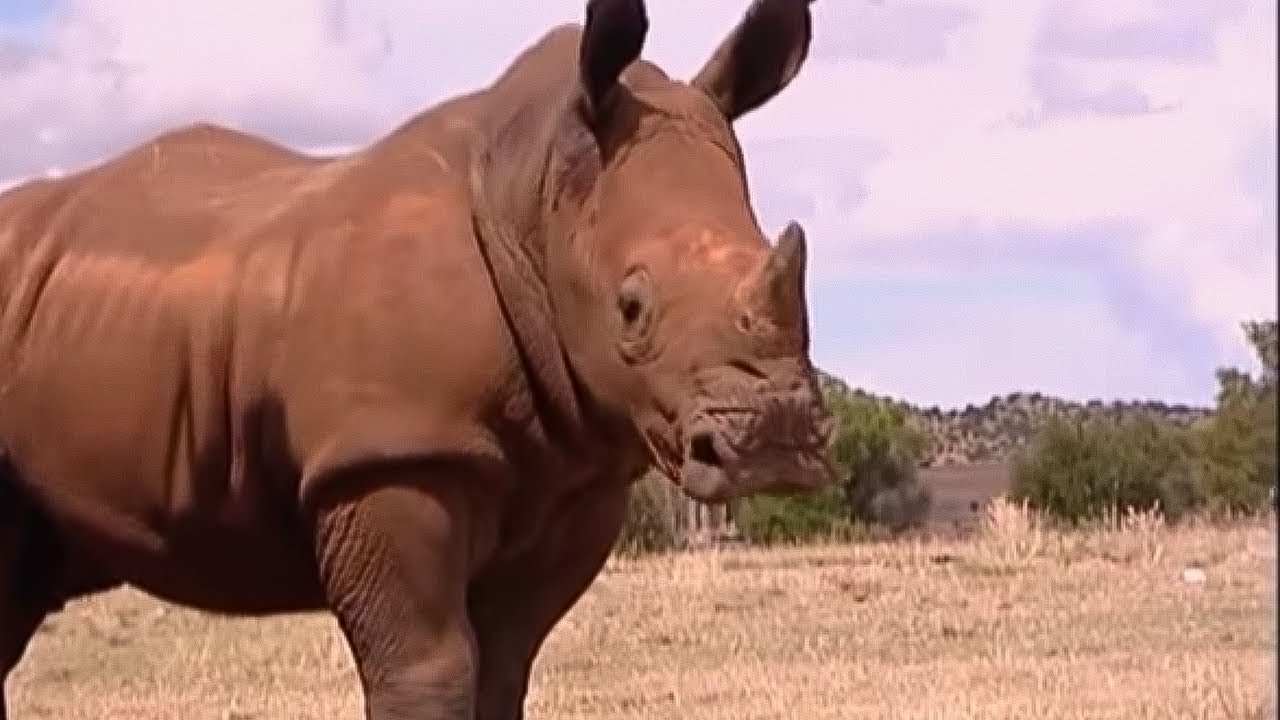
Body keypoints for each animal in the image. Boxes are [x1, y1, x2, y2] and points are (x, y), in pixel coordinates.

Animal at [0, 0, 834, 717]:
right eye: (631, 309)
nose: (776, 435)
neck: (534, 193)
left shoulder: (577, 475)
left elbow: (505, 664)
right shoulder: (392, 452)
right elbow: (430, 667)